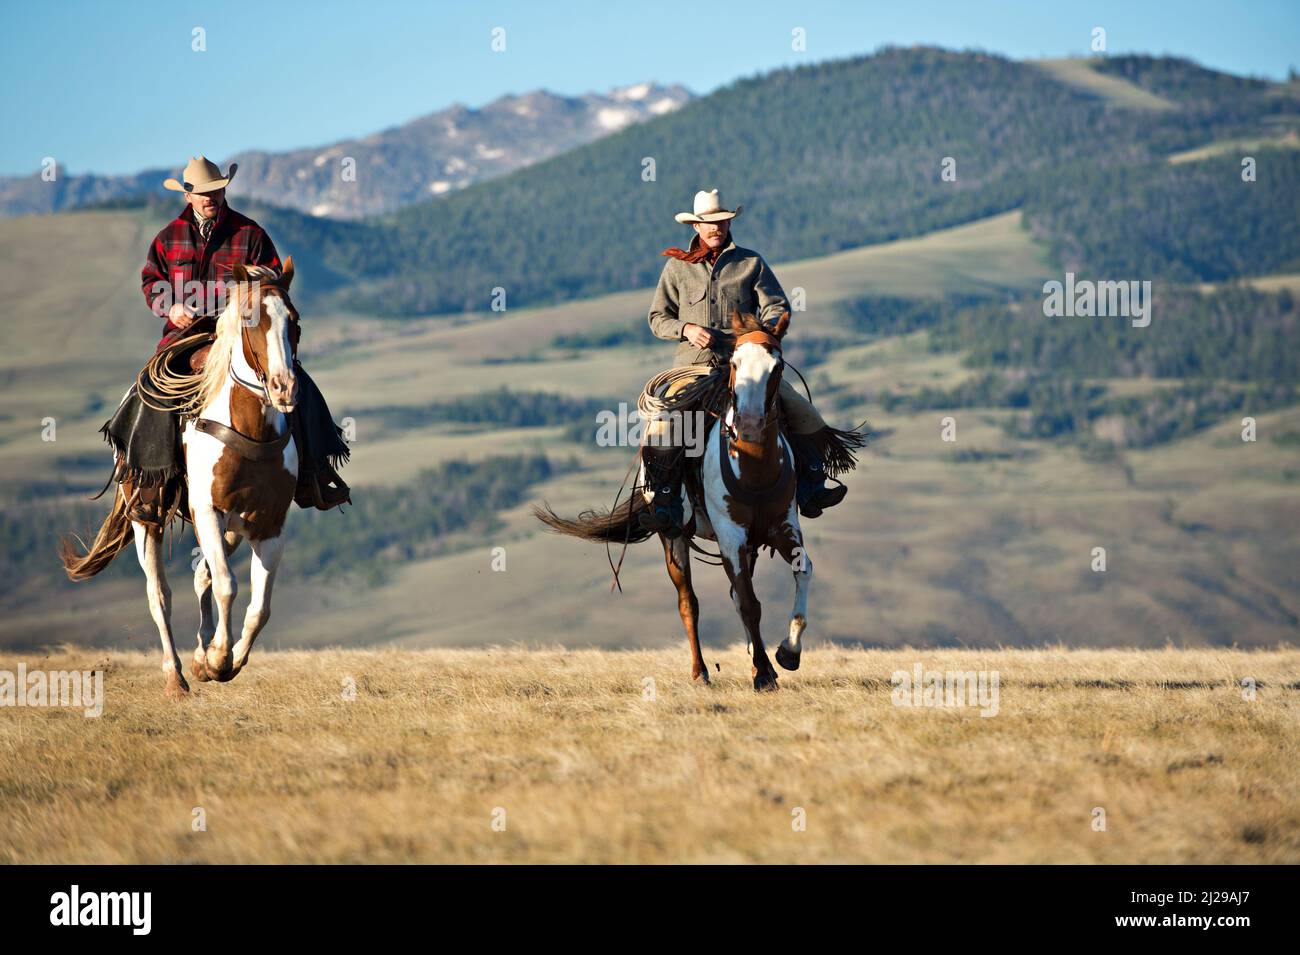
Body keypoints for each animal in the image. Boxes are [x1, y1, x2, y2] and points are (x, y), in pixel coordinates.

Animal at [61, 260, 302, 698]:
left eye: (294, 322)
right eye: (251, 321)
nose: (284, 389)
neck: (248, 428)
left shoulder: (269, 524)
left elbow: (259, 608)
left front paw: (218, 659)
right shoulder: (207, 511)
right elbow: (227, 584)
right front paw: (219, 660)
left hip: (233, 527)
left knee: (201, 573)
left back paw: (199, 653)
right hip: (146, 516)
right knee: (160, 594)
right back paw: (176, 676)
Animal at [535, 310, 809, 692]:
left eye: (777, 367)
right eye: (735, 364)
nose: (750, 424)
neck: (753, 465)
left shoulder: (784, 526)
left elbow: (800, 572)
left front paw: (787, 653)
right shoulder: (730, 536)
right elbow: (749, 603)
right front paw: (765, 675)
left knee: (734, 595)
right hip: (674, 536)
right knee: (688, 602)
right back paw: (701, 672)